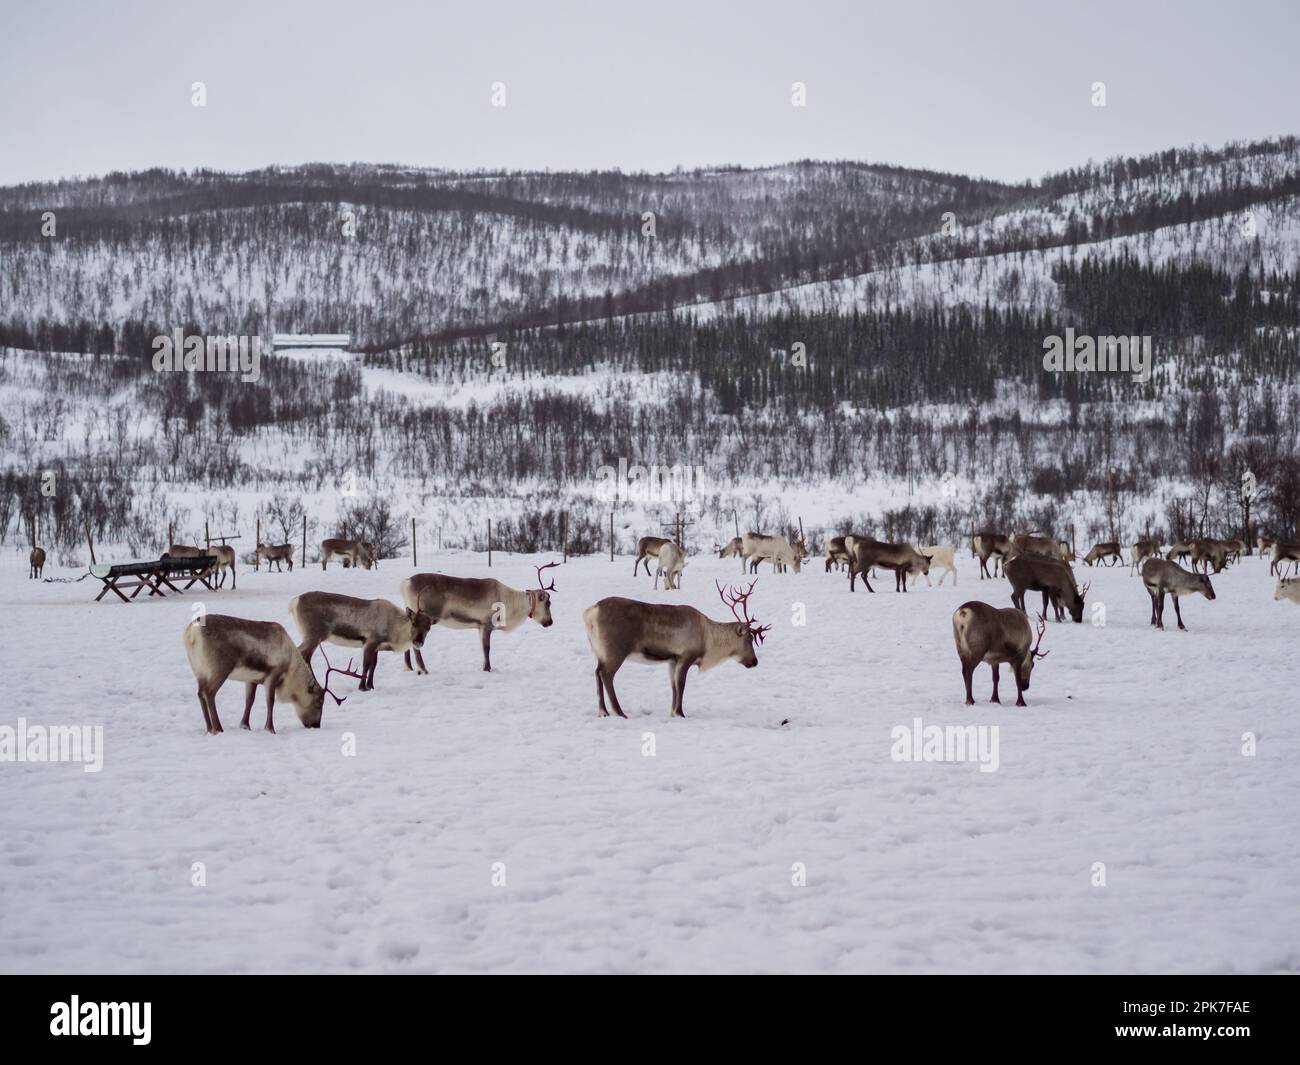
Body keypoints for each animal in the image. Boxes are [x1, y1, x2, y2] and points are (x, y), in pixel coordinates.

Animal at [182, 614, 361, 734]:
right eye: (319, 702)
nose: (316, 725)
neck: (290, 665)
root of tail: (191, 634)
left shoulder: (252, 679)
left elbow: (249, 701)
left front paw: (245, 726)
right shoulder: (273, 674)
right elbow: (270, 701)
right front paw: (270, 729)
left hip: (199, 670)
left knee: (200, 693)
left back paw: (208, 728)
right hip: (219, 668)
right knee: (209, 693)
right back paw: (218, 728)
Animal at [289, 592, 434, 691]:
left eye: (428, 627)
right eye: (413, 623)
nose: (418, 642)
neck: (394, 626)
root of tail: (294, 602)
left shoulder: (377, 647)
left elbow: (373, 666)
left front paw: (371, 686)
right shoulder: (370, 642)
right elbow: (366, 665)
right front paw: (362, 687)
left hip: (314, 638)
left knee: (306, 657)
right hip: (313, 635)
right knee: (301, 653)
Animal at [401, 562, 556, 673]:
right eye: (548, 602)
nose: (550, 622)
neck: (509, 602)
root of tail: (406, 582)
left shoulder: (479, 626)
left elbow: (483, 648)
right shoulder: (486, 624)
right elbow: (487, 648)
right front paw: (487, 669)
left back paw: (409, 667)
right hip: (422, 617)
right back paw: (423, 669)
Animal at [583, 579, 769, 719]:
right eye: (749, 638)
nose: (754, 661)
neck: (708, 639)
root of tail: (590, 613)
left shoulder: (672, 660)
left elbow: (673, 687)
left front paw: (672, 712)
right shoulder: (686, 656)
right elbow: (681, 685)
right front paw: (680, 713)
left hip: (599, 651)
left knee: (597, 672)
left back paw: (603, 712)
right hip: (615, 650)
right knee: (606, 675)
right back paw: (619, 712)